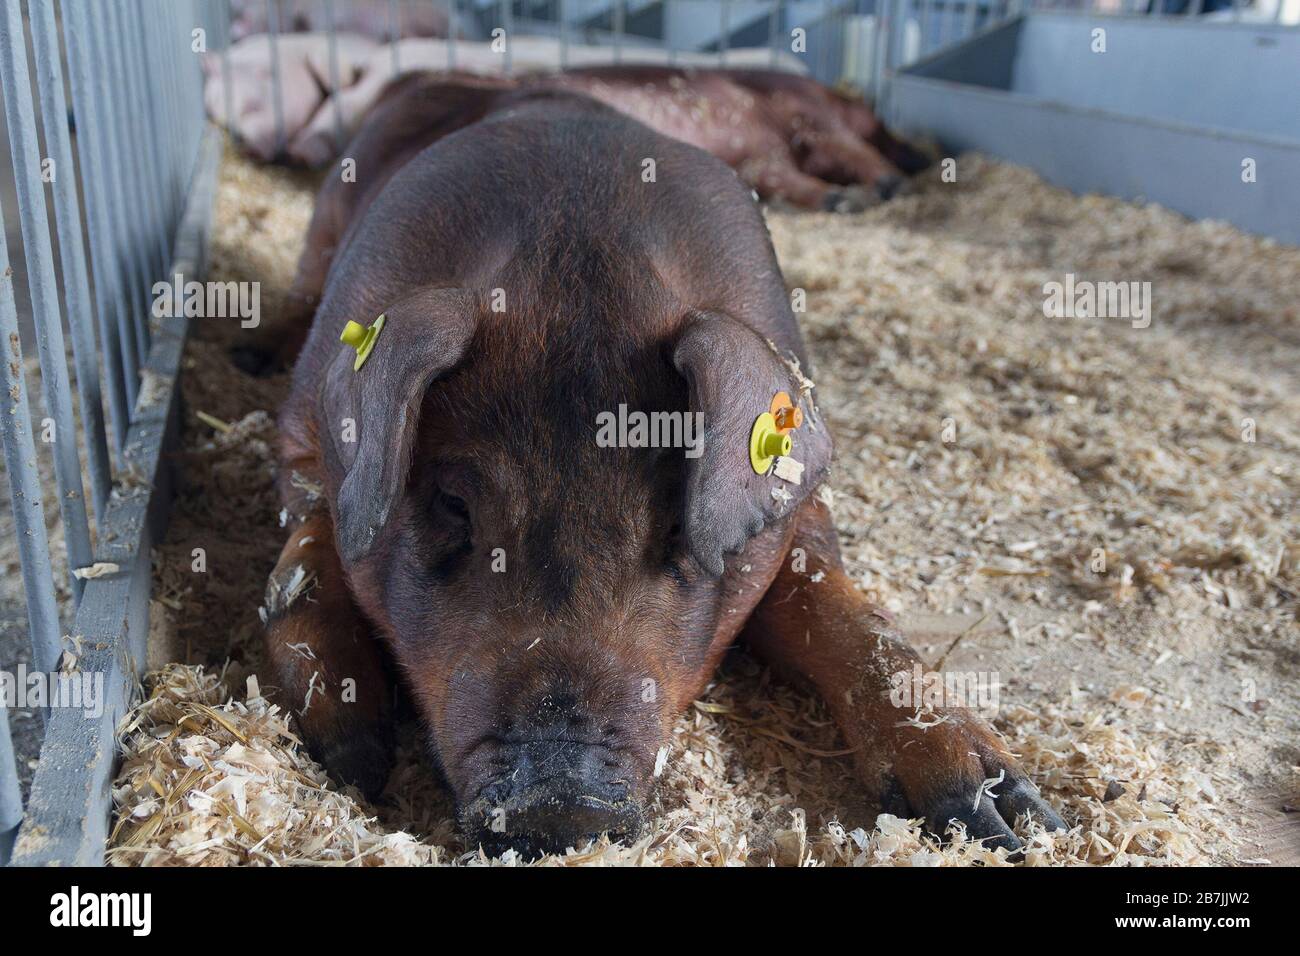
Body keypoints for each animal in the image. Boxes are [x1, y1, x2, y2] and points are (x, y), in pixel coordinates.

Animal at [259, 82, 1063, 858]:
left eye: (678, 525)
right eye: (453, 504)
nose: (558, 801)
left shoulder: (799, 504)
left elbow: (836, 603)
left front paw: (1011, 822)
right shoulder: (301, 430)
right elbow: (307, 547)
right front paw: (355, 753)